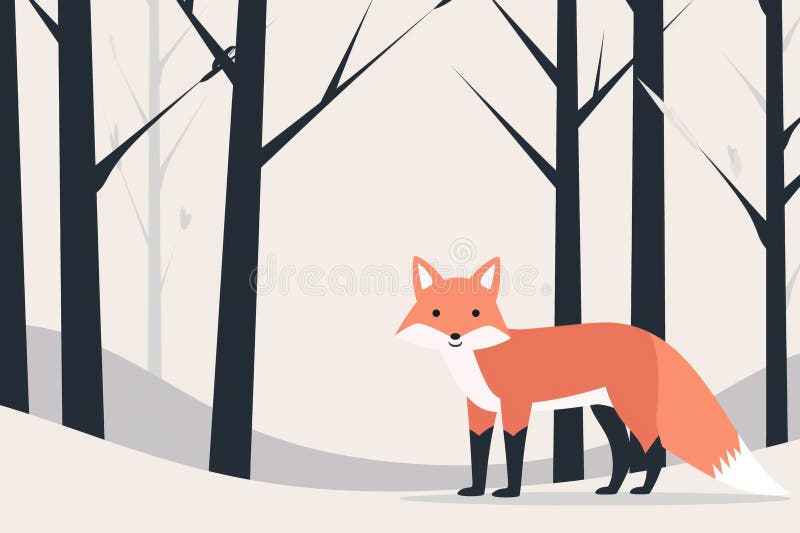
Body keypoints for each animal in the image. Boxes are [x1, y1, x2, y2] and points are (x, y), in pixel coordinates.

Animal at [396, 256, 786, 498]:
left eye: (476, 313)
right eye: (436, 313)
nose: (456, 336)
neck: (477, 361)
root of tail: (648, 336)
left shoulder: (516, 406)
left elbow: (513, 452)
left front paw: (509, 493)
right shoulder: (479, 408)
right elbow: (477, 453)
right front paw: (476, 491)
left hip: (631, 408)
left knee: (652, 446)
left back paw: (644, 491)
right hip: (604, 409)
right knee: (623, 451)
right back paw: (612, 490)